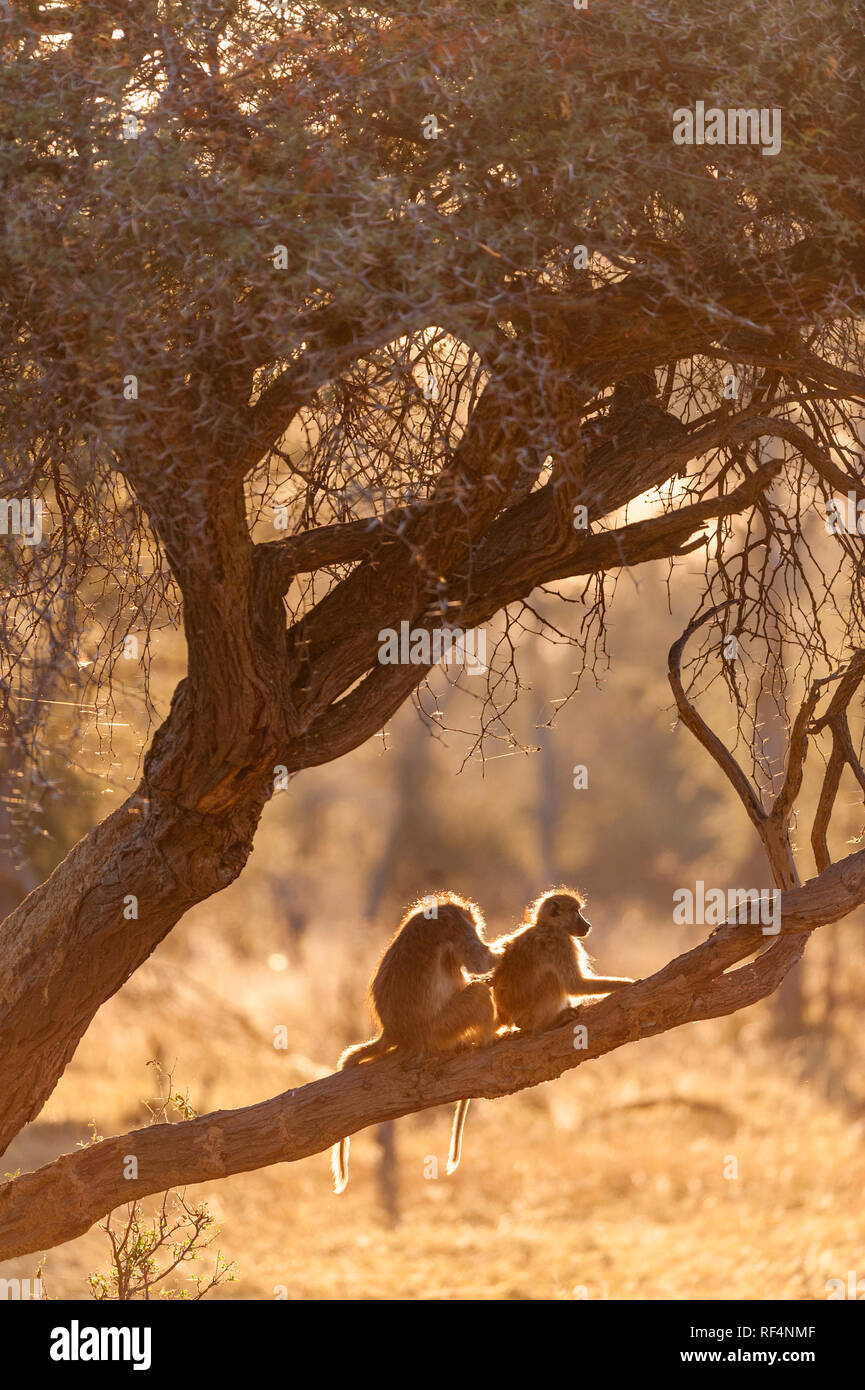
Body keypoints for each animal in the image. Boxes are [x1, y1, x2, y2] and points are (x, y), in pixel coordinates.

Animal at [332, 892, 496, 1193]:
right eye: (474, 924)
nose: (479, 926)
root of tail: (396, 1034)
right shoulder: (457, 929)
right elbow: (480, 963)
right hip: (440, 1030)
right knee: (478, 992)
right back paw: (487, 1039)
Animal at [491, 889, 633, 1034]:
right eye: (575, 911)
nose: (588, 925)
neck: (548, 926)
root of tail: (504, 1016)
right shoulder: (563, 942)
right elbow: (575, 985)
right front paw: (628, 984)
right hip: (528, 1014)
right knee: (552, 978)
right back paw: (546, 1024)